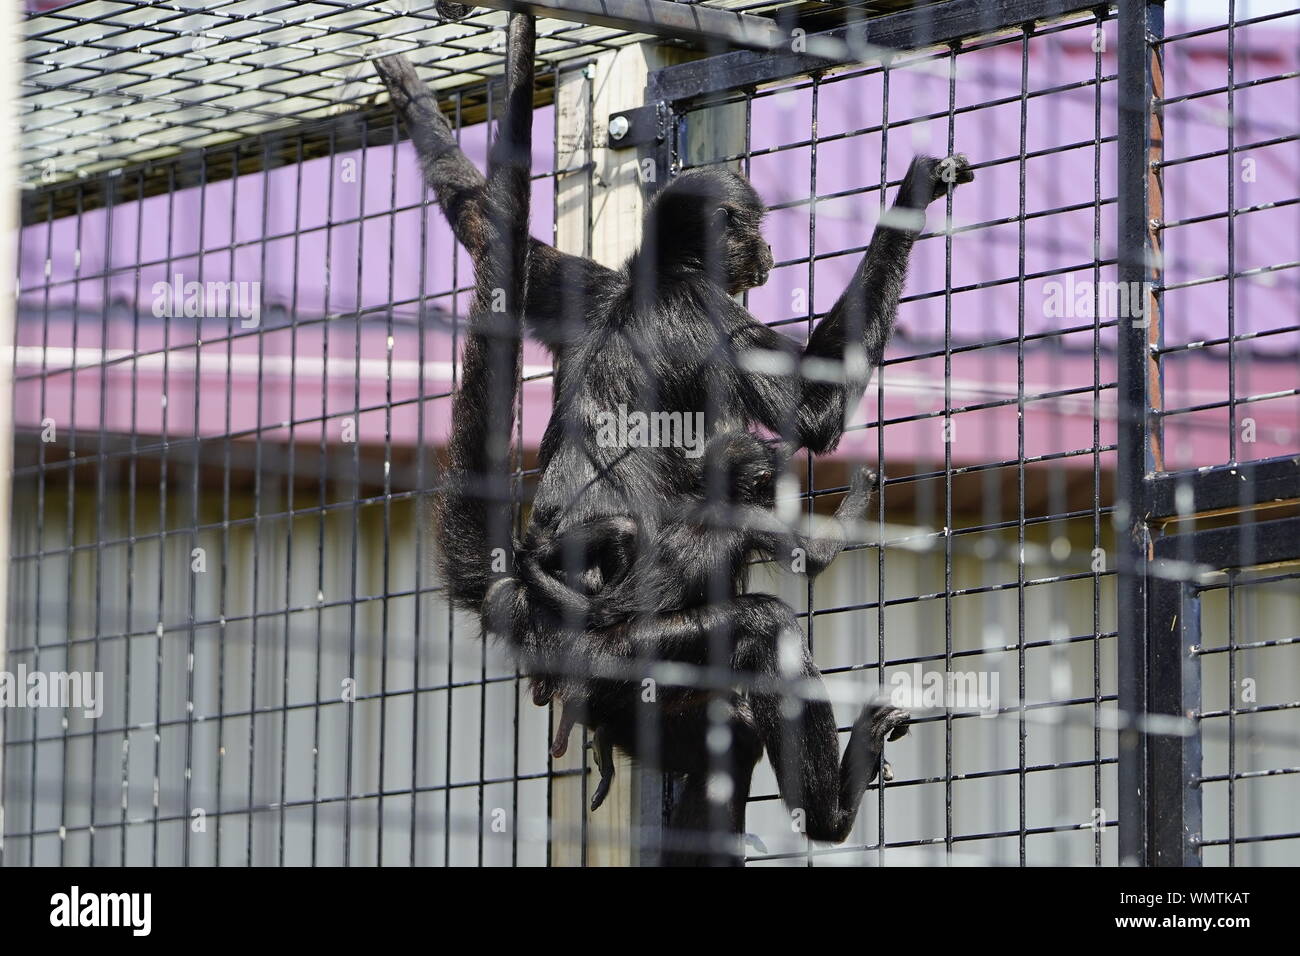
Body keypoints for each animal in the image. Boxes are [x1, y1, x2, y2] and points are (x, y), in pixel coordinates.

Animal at [374, 40, 973, 863]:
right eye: (753, 227)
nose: (771, 248)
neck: (655, 278)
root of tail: (522, 599)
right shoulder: (707, 311)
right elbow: (812, 417)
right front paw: (913, 191)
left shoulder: (594, 291)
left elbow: (500, 241)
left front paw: (419, 109)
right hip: (624, 653)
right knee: (763, 628)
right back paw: (832, 810)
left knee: (731, 733)